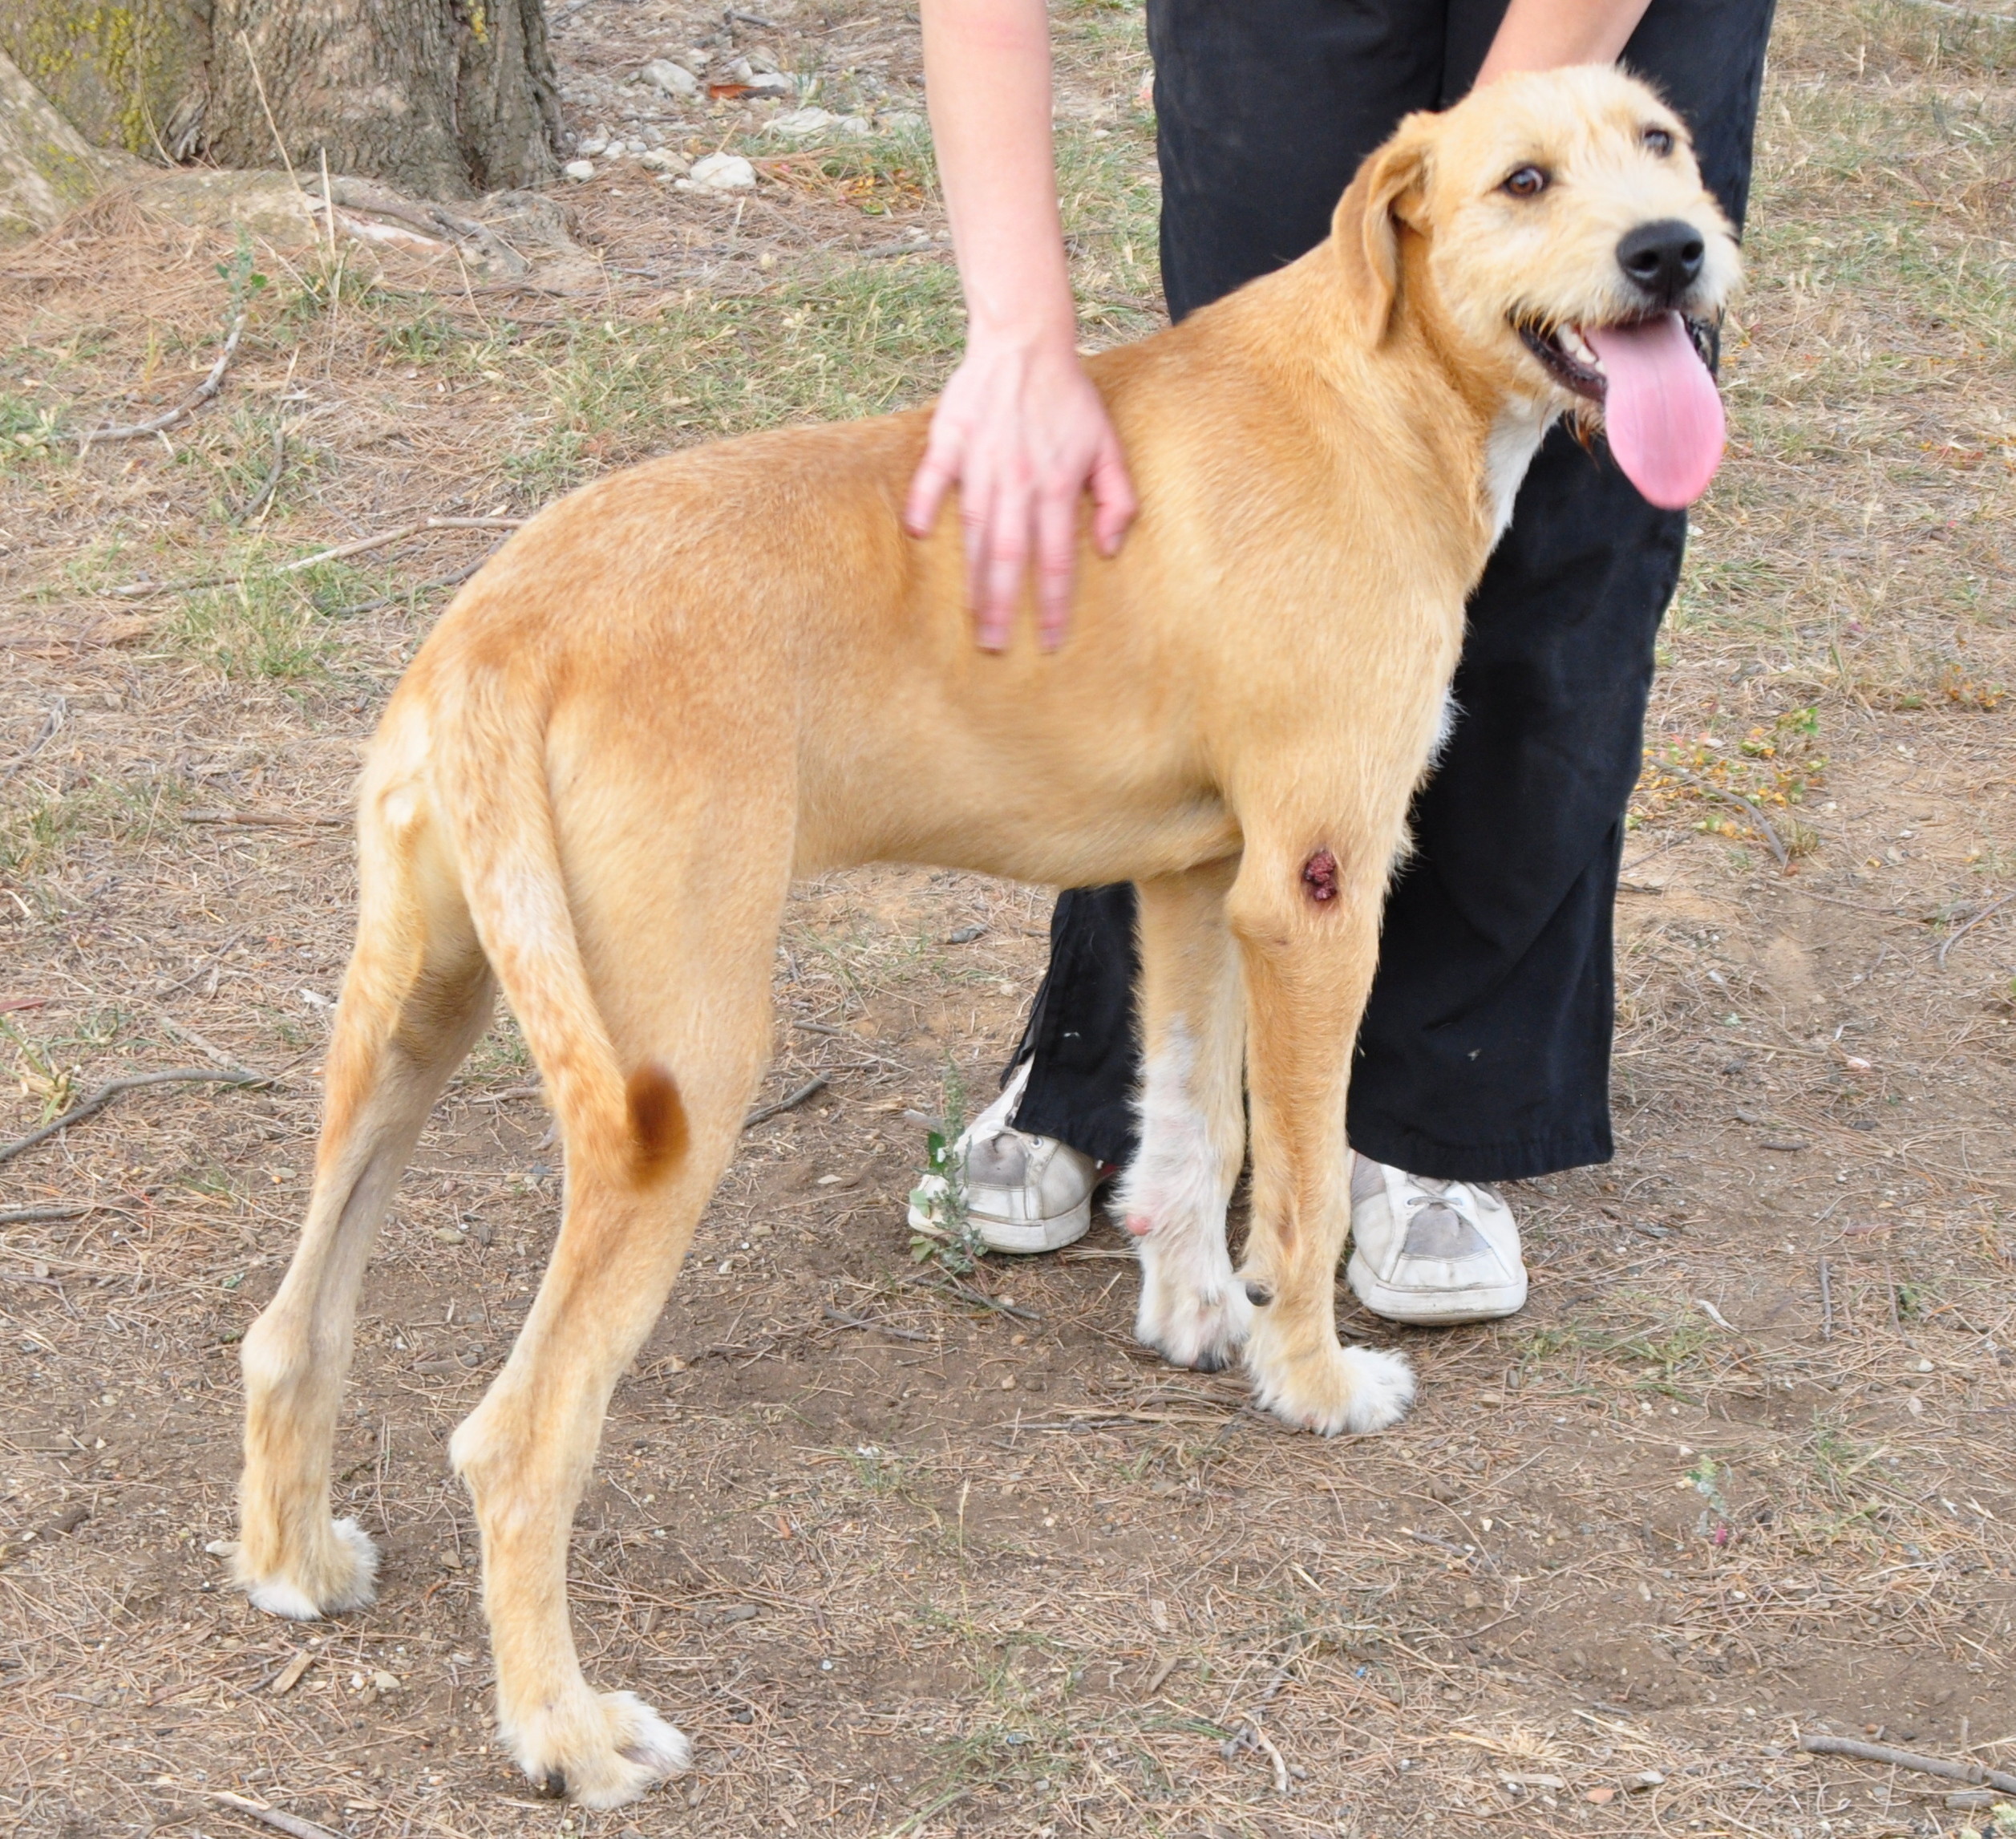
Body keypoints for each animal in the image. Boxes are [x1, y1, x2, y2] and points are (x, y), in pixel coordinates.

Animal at [236, 67, 1742, 1798]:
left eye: (1661, 143)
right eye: (1522, 180)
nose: (1670, 251)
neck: (1373, 385)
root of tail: (503, 628)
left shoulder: (1194, 882)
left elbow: (1193, 1134)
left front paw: (1193, 1318)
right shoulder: (1314, 887)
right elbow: (1295, 1184)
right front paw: (1308, 1378)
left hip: (413, 1015)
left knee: (289, 1328)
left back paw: (292, 1560)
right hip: (674, 1081)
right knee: (517, 1437)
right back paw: (566, 1730)